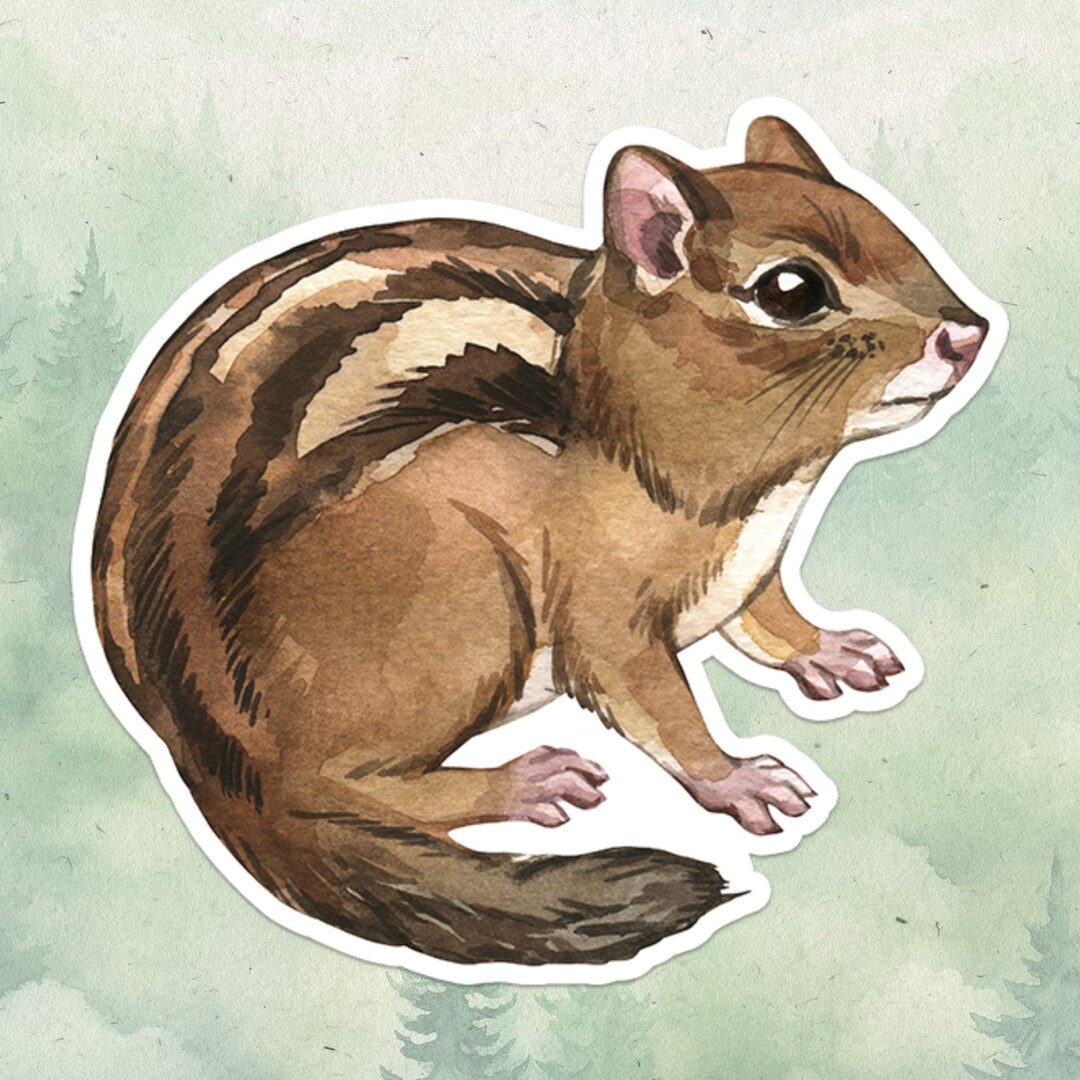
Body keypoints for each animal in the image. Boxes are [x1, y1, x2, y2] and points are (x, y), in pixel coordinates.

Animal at [90, 116, 990, 967]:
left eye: (891, 226)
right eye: (792, 290)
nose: (972, 331)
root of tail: (216, 760)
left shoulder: (748, 570)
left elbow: (768, 616)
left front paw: (831, 649)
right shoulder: (605, 613)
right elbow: (660, 704)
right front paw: (736, 779)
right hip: (462, 592)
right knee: (334, 786)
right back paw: (517, 783)